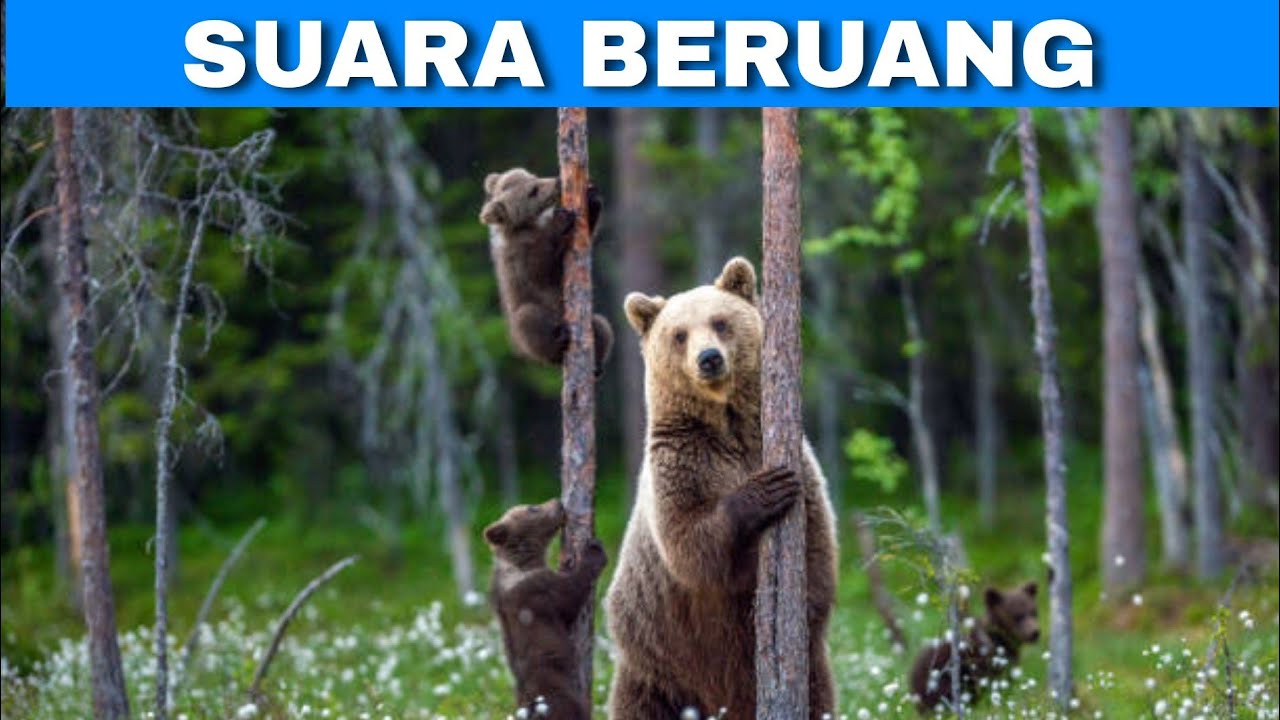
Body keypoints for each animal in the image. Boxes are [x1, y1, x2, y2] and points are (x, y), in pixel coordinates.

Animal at [479, 167, 614, 377]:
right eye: (533, 191)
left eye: (533, 176)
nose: (558, 181)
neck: (529, 225)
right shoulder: (519, 257)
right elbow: (541, 269)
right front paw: (561, 220)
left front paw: (592, 197)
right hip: (527, 323)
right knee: (528, 319)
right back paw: (559, 340)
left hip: (589, 322)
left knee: (602, 325)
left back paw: (596, 364)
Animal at [483, 497, 608, 720]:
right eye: (532, 508)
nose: (558, 502)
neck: (522, 562)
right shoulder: (536, 591)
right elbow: (570, 597)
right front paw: (593, 550)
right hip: (561, 695)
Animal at [604, 257, 839, 720]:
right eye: (679, 334)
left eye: (721, 322)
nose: (709, 358)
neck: (727, 425)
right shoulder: (681, 463)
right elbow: (689, 543)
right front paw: (764, 490)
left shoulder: (796, 460)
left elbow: (817, 545)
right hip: (656, 667)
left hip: (810, 676)